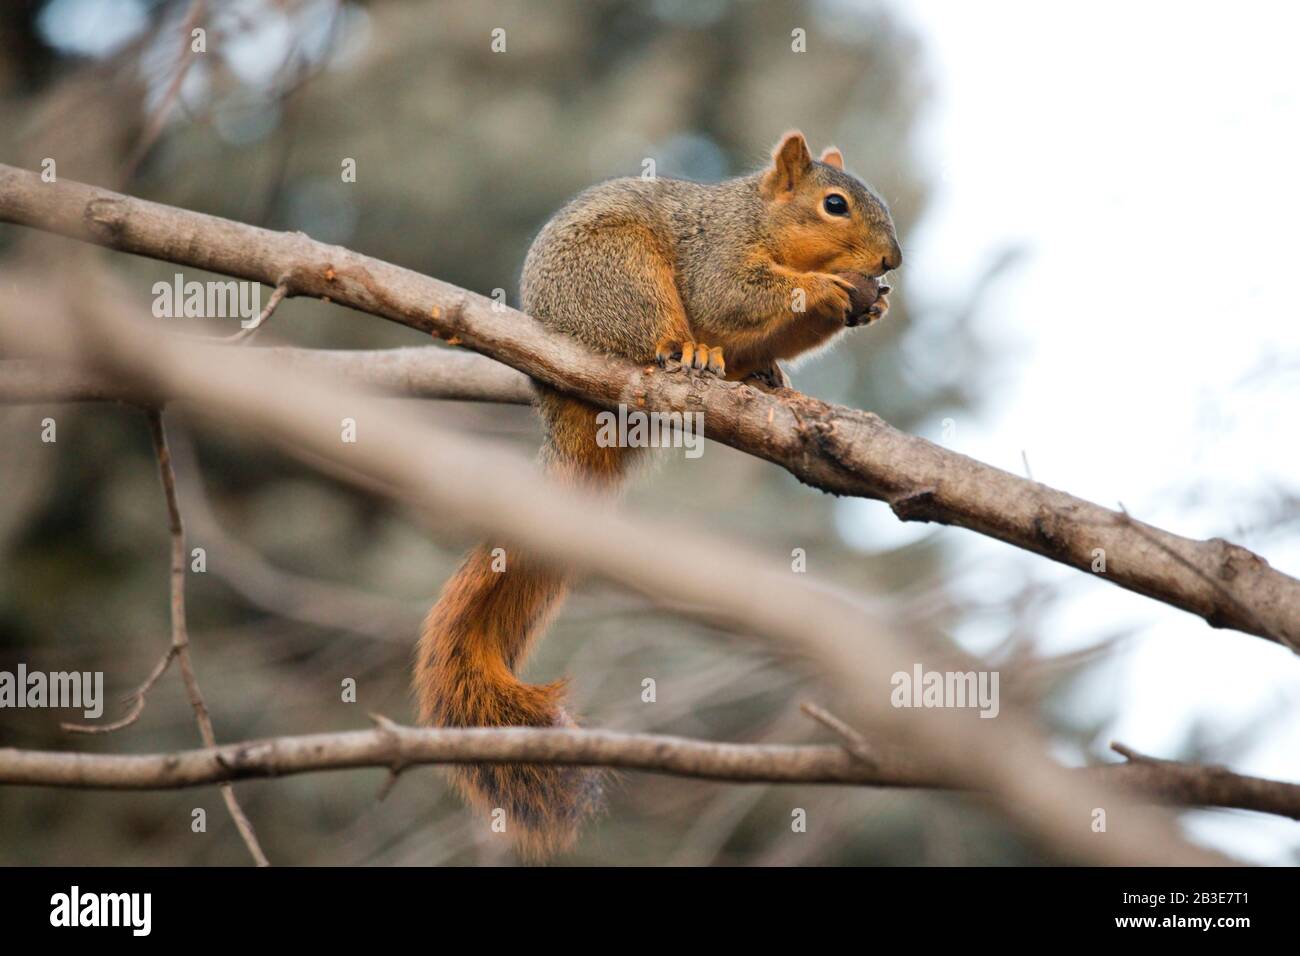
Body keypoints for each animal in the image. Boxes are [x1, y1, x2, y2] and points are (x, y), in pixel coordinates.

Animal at [415, 131, 901, 858]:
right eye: (834, 204)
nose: (892, 260)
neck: (757, 220)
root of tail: (560, 412)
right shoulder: (715, 259)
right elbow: (732, 297)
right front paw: (823, 287)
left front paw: (870, 304)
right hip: (621, 276)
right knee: (655, 333)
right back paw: (688, 352)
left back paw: (761, 377)